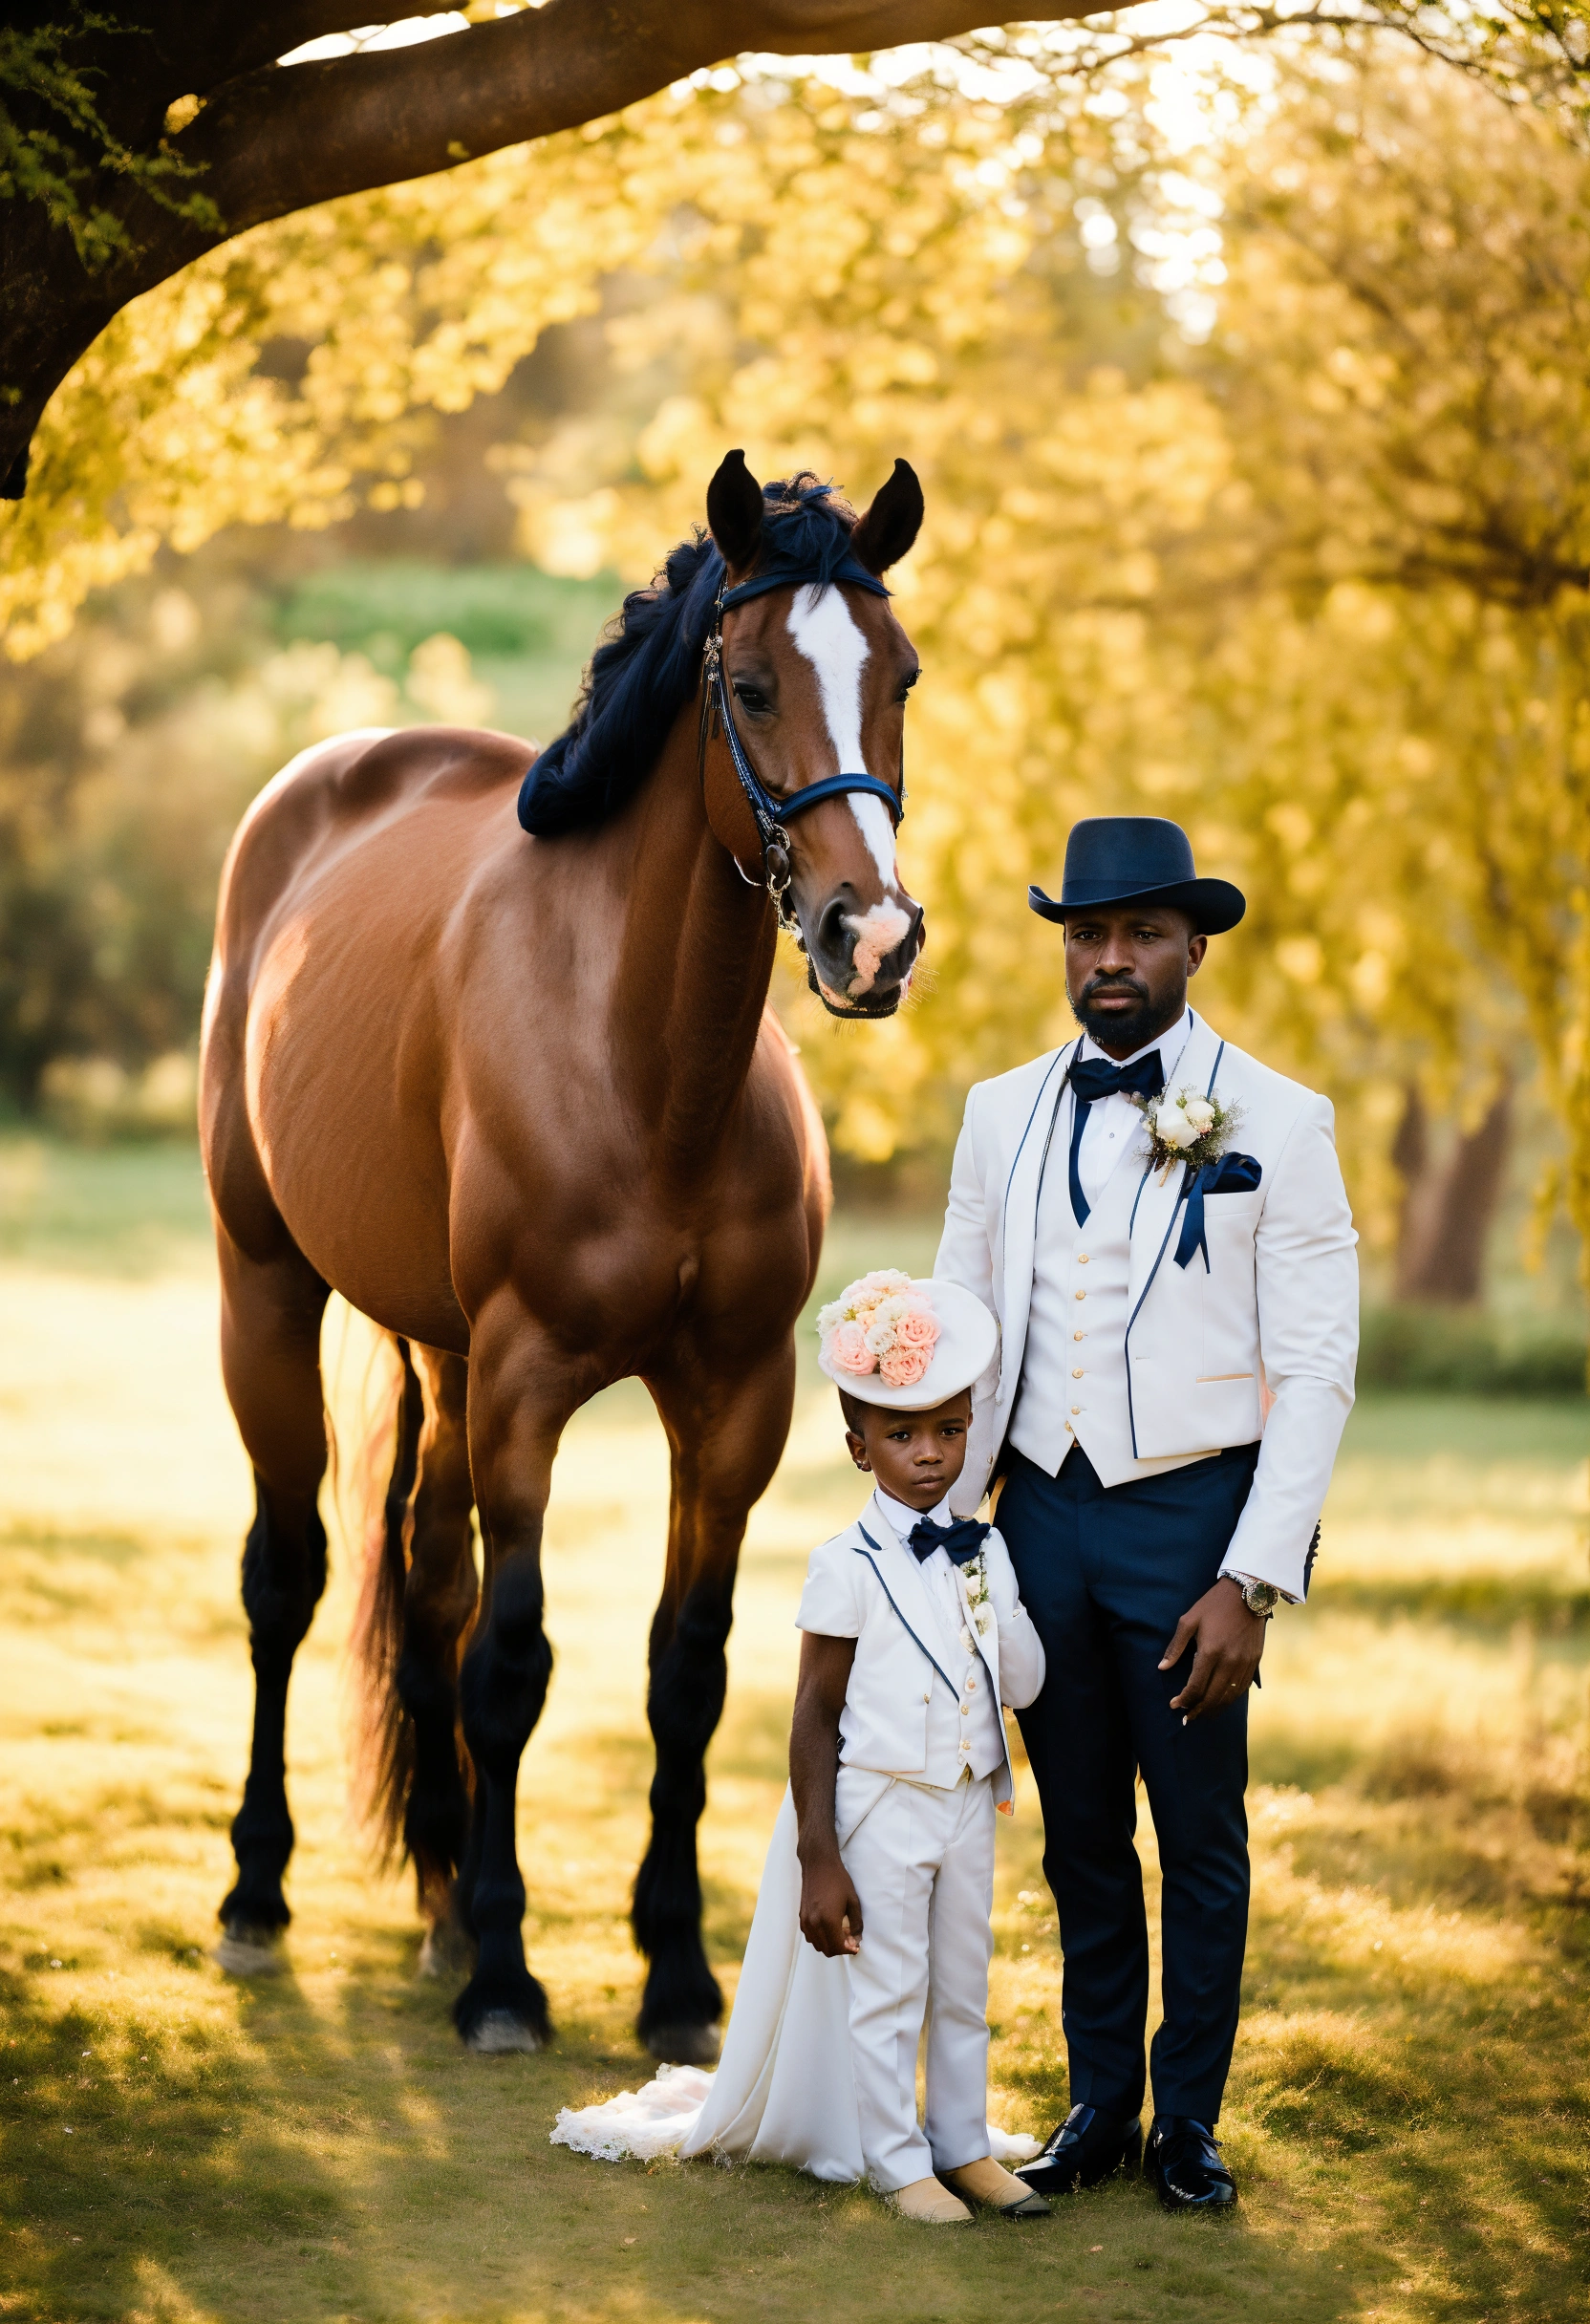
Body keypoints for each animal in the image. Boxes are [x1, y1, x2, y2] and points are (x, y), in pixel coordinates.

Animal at [198, 450, 927, 2059]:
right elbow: (516, 1661)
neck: (649, 1072)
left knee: (425, 1587)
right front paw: (506, 1978)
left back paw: (436, 1896)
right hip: (267, 1297)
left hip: (443, 1357)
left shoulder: (731, 1408)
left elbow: (684, 1673)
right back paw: (261, 1897)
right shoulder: (530, 1389)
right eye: (754, 684)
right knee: (290, 1578)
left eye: (901, 673)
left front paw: (675, 1977)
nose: (873, 937)